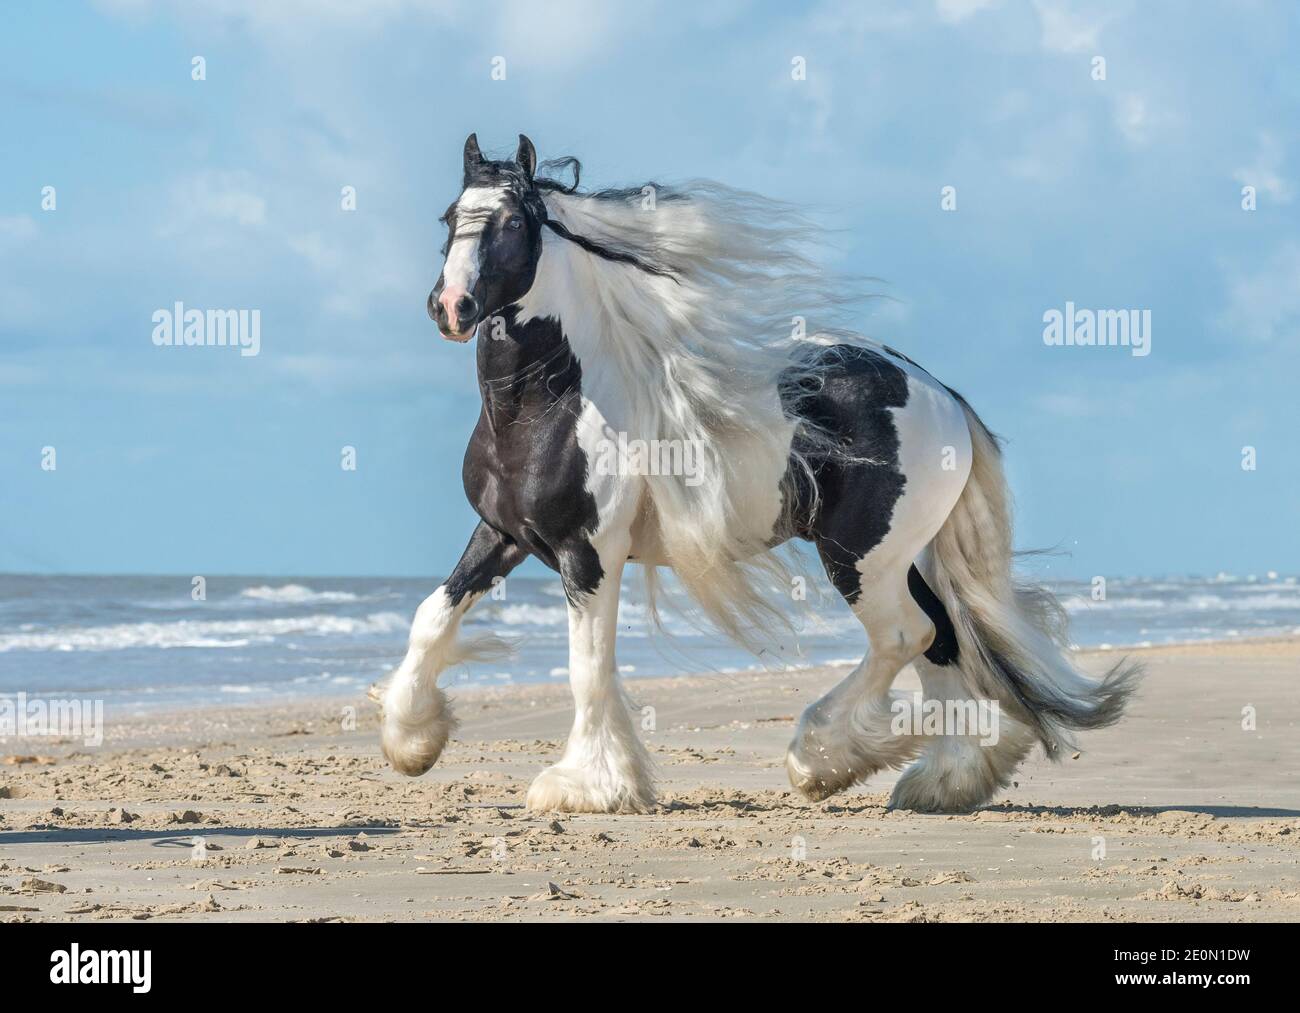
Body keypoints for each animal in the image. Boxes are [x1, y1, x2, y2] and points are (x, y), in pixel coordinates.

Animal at [373, 133, 1139, 814]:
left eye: (510, 222)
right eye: (449, 217)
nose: (451, 308)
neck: (552, 401)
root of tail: (940, 394)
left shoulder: (588, 553)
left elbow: (587, 668)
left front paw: (584, 787)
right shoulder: (503, 533)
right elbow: (431, 614)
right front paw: (412, 742)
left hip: (858, 556)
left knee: (904, 637)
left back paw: (820, 761)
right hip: (896, 555)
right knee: (942, 639)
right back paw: (942, 782)